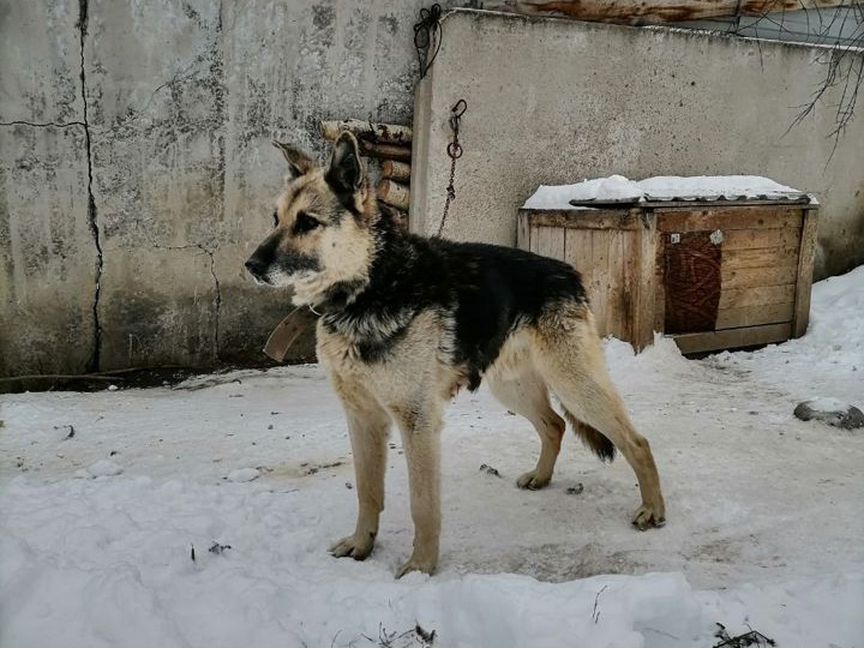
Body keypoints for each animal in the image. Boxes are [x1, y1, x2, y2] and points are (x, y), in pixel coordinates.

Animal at [246, 132, 664, 576]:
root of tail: (568, 273)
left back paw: (653, 509)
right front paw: (362, 545)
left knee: (636, 441)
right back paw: (541, 477)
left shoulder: (418, 421)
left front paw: (420, 568)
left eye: (308, 222)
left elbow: (422, 504)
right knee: (554, 425)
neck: (371, 286)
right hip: (512, 388)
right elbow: (367, 491)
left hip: (575, 385)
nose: (250, 265)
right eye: (276, 219)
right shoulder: (362, 418)